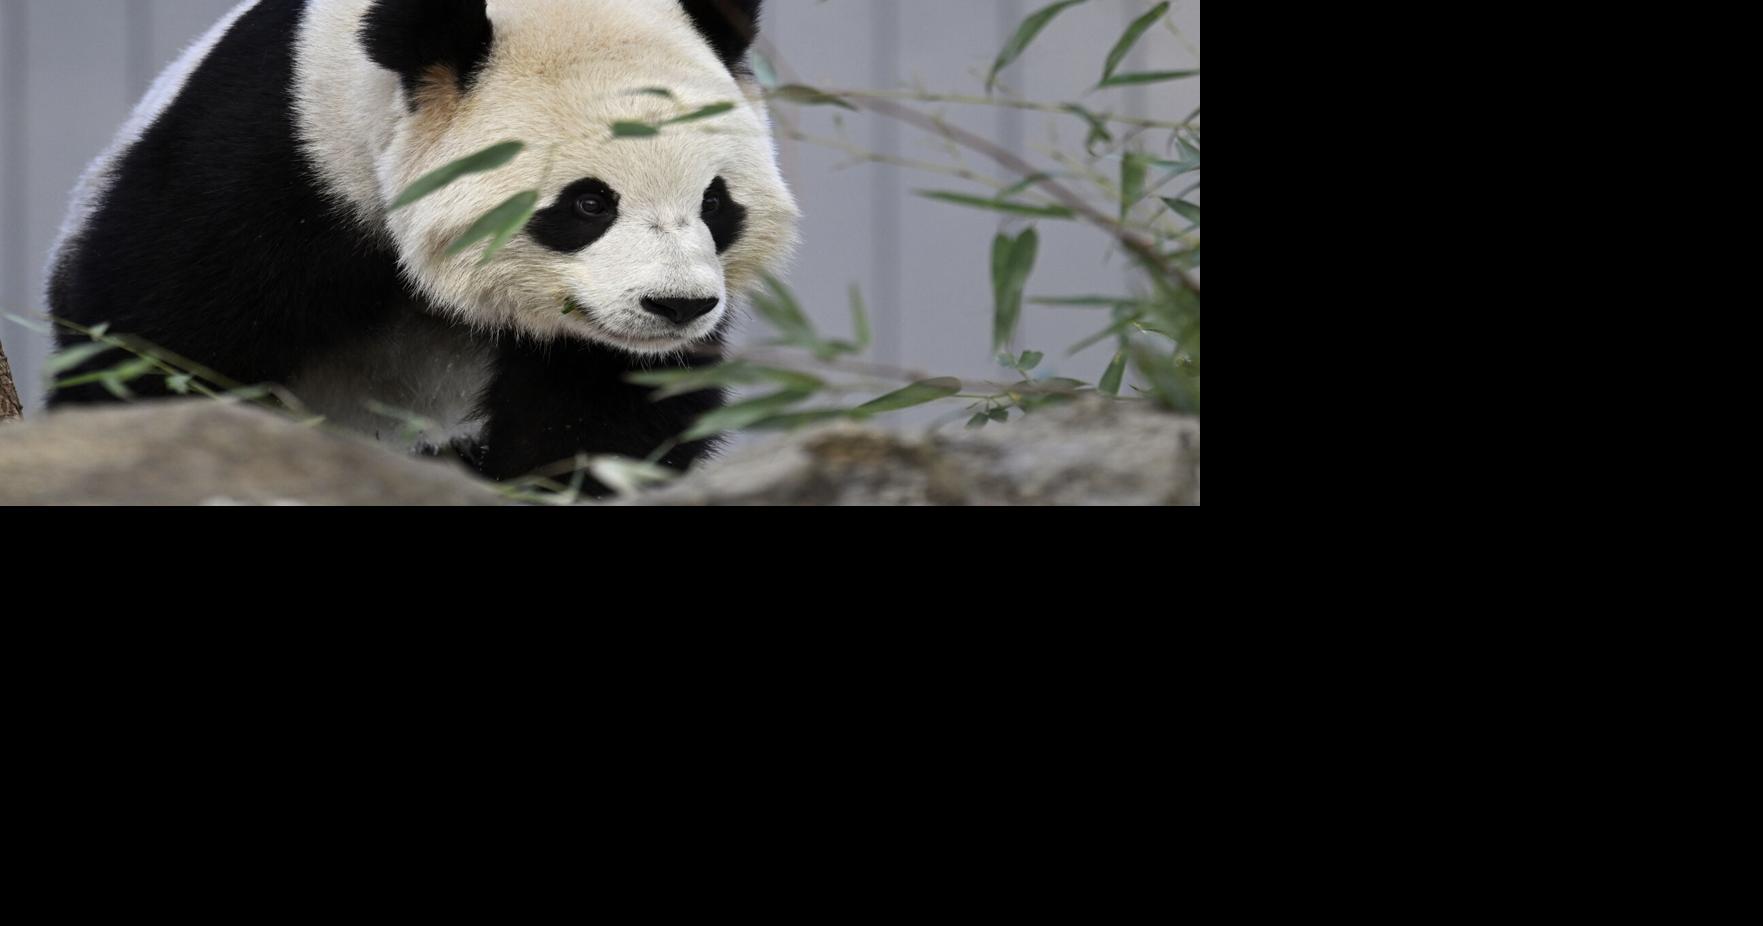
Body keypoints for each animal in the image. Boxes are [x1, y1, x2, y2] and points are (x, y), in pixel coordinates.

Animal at [46, 0, 798, 486]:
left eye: (714, 202)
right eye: (588, 203)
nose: (676, 306)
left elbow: (604, 409)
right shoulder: (274, 160)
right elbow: (152, 347)